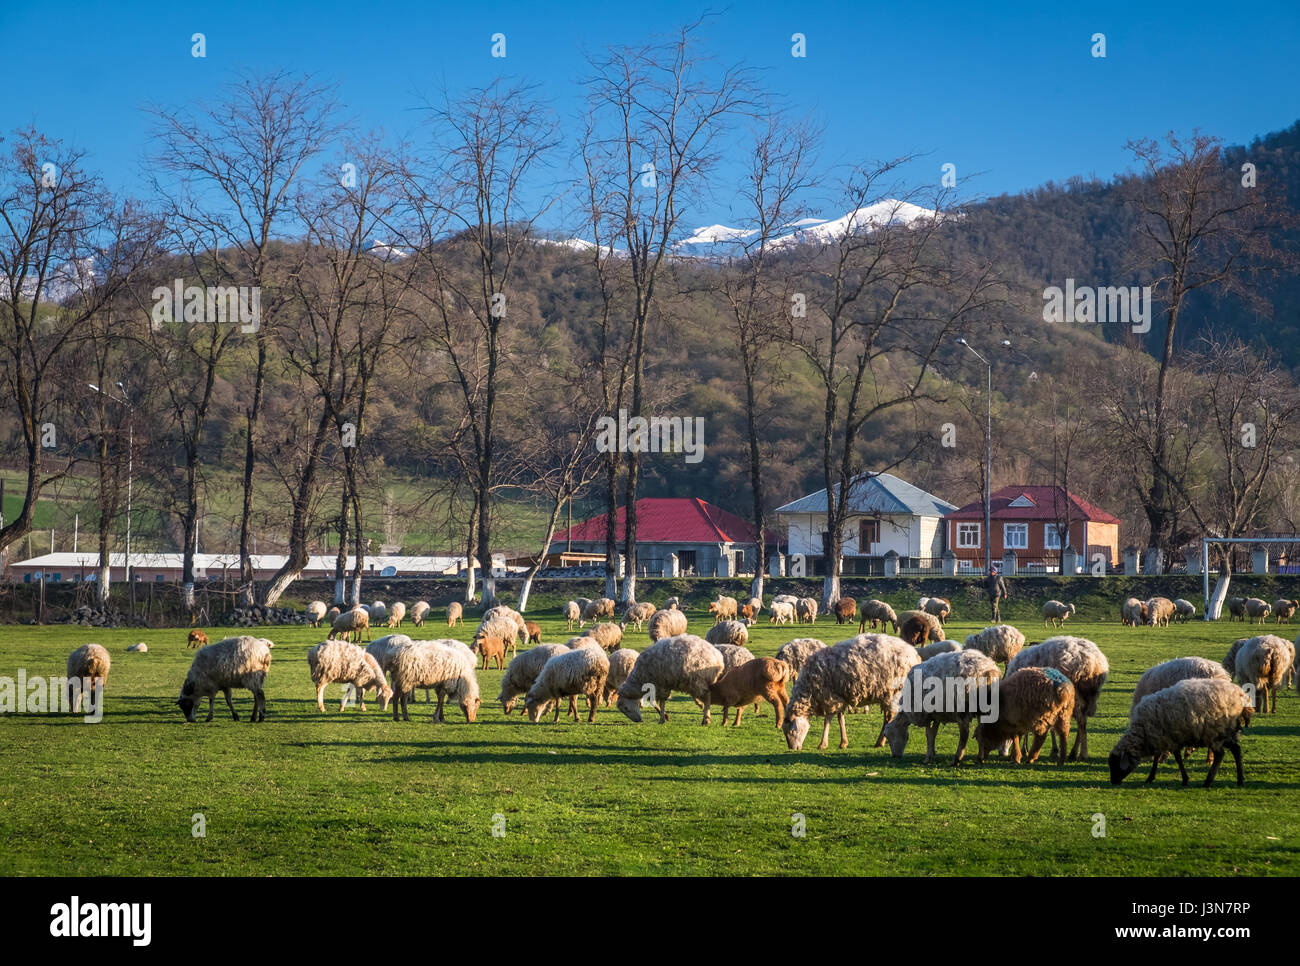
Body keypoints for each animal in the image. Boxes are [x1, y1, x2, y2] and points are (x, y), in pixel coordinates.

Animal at [782, 634, 921, 751]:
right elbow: (840, 718)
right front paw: (843, 742)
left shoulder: (830, 697)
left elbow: (828, 720)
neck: (809, 689)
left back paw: (880, 742)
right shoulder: (840, 697)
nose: (793, 748)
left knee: (889, 716)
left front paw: (823, 744)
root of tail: (914, 654)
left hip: (893, 691)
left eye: (791, 731)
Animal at [1109, 678, 1253, 787]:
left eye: (1115, 765)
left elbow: (1176, 758)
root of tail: (1241, 696)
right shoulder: (1163, 738)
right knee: (1236, 750)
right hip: (1228, 732)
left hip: (1215, 732)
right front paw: (1151, 777)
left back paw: (1208, 781)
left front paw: (1184, 779)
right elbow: (1158, 757)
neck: (1142, 733)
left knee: (1220, 754)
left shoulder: (1167, 738)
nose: (1113, 782)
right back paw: (1240, 780)